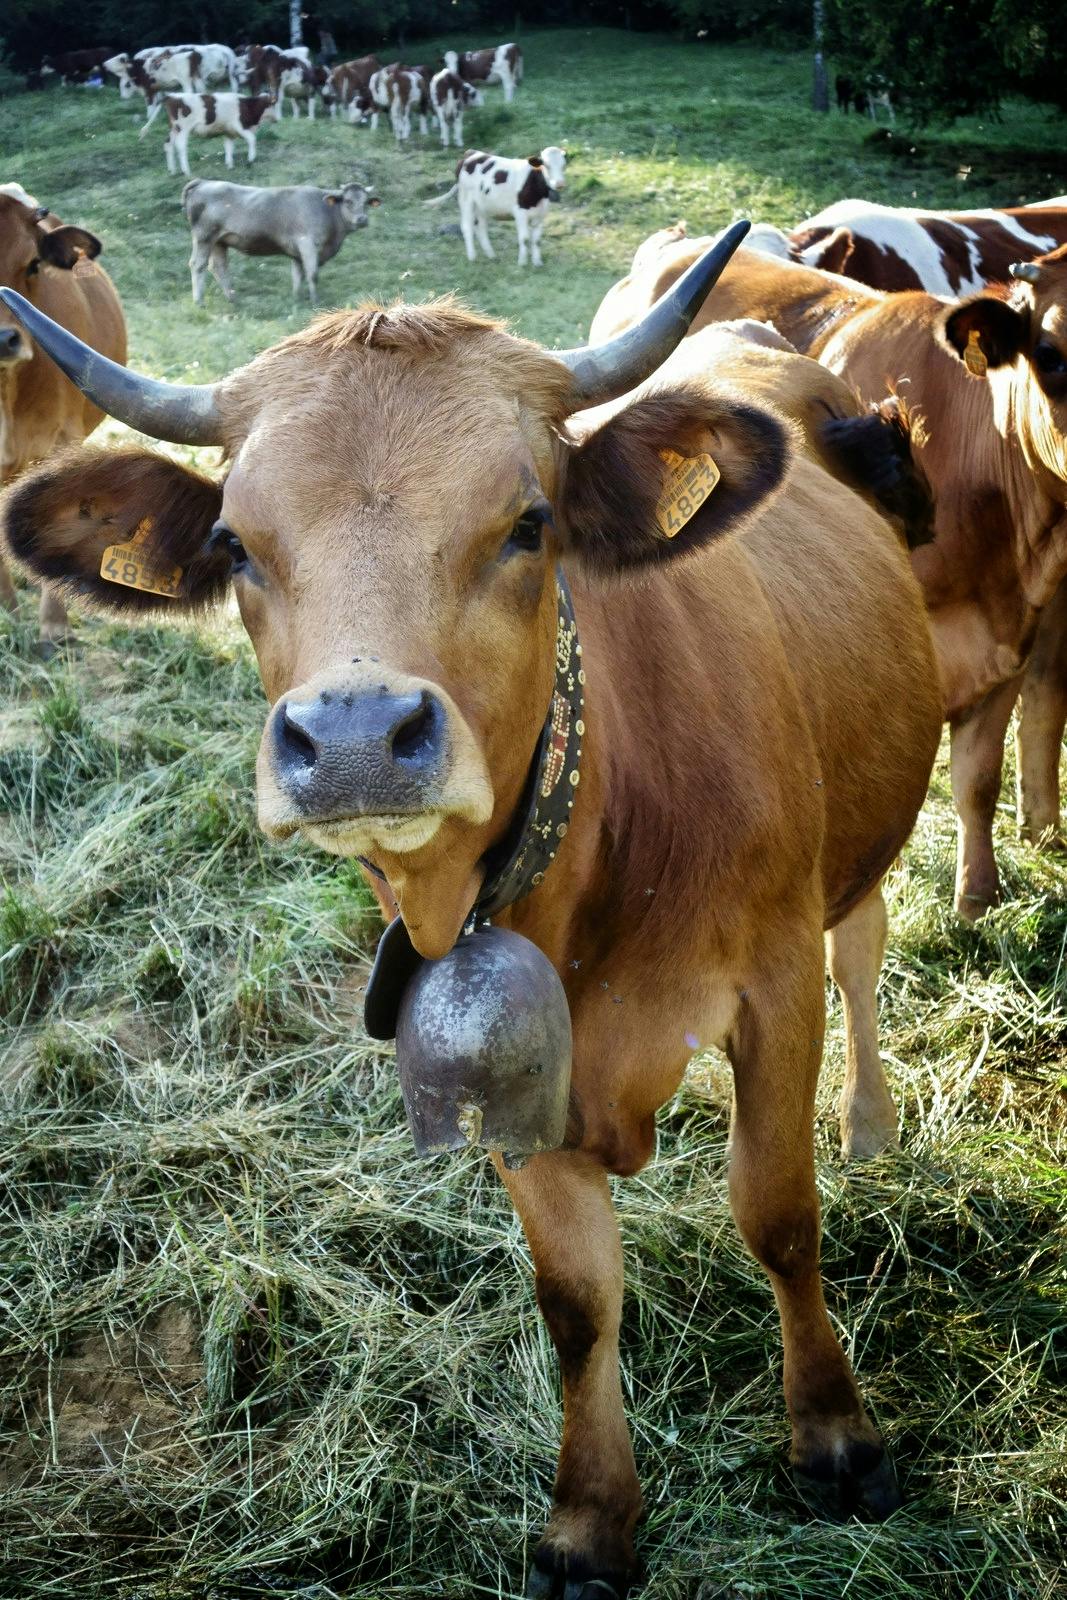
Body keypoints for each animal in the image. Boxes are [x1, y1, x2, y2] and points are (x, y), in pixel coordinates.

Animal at [150, 94, 280, 178]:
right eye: (273, 105)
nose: (278, 119)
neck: (246, 105)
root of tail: (171, 96)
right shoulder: (240, 125)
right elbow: (252, 139)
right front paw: (251, 159)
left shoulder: (229, 132)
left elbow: (229, 148)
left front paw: (230, 165)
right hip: (183, 129)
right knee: (180, 146)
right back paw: (187, 171)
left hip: (174, 129)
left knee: (168, 145)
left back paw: (173, 171)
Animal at [182, 179, 379, 305]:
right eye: (348, 201)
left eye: (366, 202)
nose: (362, 219)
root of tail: (204, 182)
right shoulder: (307, 244)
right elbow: (312, 274)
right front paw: (316, 302)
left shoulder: (297, 252)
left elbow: (298, 275)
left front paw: (297, 299)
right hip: (204, 236)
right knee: (197, 264)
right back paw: (199, 302)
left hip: (219, 242)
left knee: (218, 267)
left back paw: (233, 299)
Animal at [427, 147, 567, 267]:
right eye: (546, 165)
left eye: (563, 166)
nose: (559, 184)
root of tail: (471, 153)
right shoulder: (520, 213)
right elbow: (525, 238)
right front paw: (522, 263)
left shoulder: (540, 214)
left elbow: (537, 240)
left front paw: (537, 263)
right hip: (466, 199)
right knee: (467, 227)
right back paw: (472, 257)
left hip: (481, 205)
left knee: (480, 227)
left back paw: (491, 255)